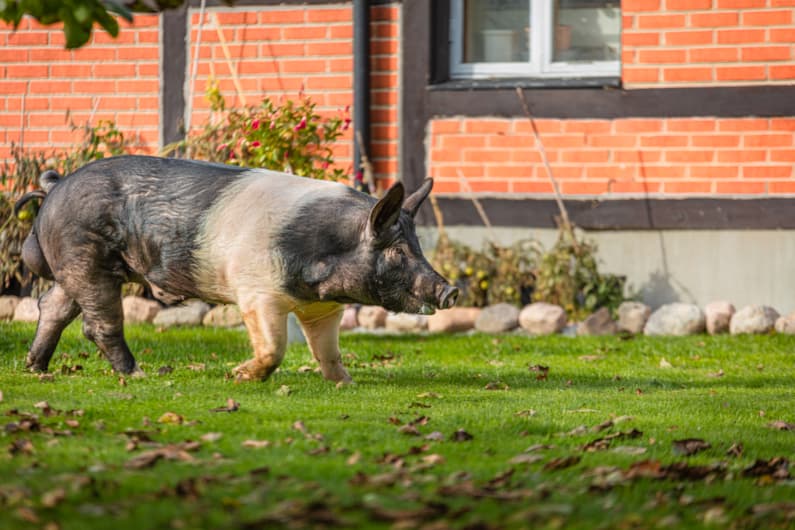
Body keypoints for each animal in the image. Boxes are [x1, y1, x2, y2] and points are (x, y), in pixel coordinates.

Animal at [15, 155, 458, 382]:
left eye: (418, 245)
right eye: (397, 251)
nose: (450, 290)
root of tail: (56, 186)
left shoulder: (322, 309)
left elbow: (327, 351)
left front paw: (344, 383)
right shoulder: (257, 293)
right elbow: (274, 348)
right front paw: (238, 376)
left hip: (75, 265)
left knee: (52, 305)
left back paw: (36, 368)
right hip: (86, 256)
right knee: (97, 323)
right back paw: (138, 375)